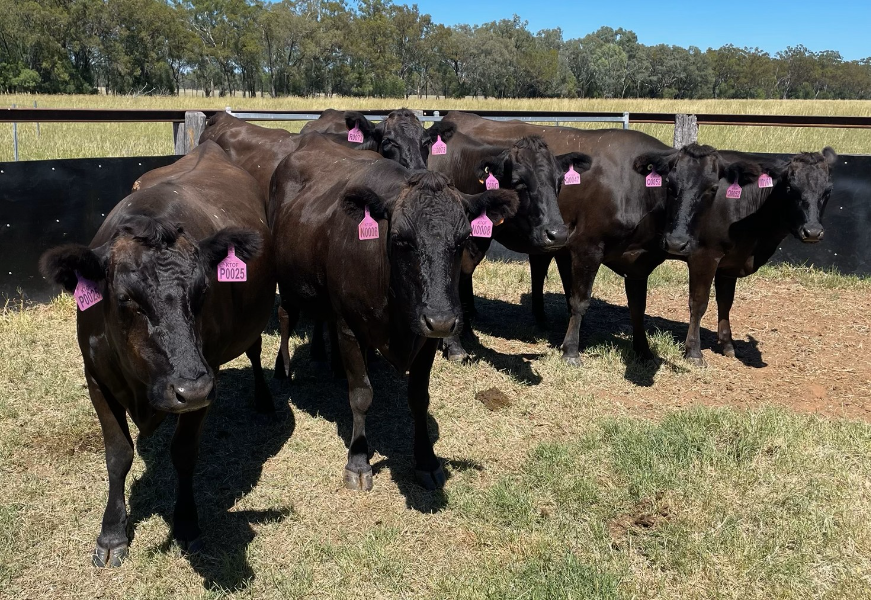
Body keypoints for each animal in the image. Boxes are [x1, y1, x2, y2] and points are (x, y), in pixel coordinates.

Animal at [38, 141, 276, 567]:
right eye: (124, 298)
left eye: (203, 292)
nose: (191, 389)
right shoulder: (95, 377)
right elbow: (118, 454)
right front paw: (112, 534)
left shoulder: (209, 373)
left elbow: (183, 452)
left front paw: (187, 524)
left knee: (254, 352)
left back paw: (264, 399)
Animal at [269, 133, 518, 490]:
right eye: (401, 240)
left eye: (462, 239)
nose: (442, 319)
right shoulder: (349, 326)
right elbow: (361, 394)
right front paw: (358, 461)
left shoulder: (425, 338)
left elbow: (419, 397)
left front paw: (426, 460)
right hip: (286, 280)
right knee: (286, 316)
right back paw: (282, 370)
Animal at [621, 147, 837, 365]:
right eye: (790, 188)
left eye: (828, 191)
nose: (812, 232)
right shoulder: (704, 256)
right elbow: (698, 303)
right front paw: (694, 352)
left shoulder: (730, 263)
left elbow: (726, 301)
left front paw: (728, 345)